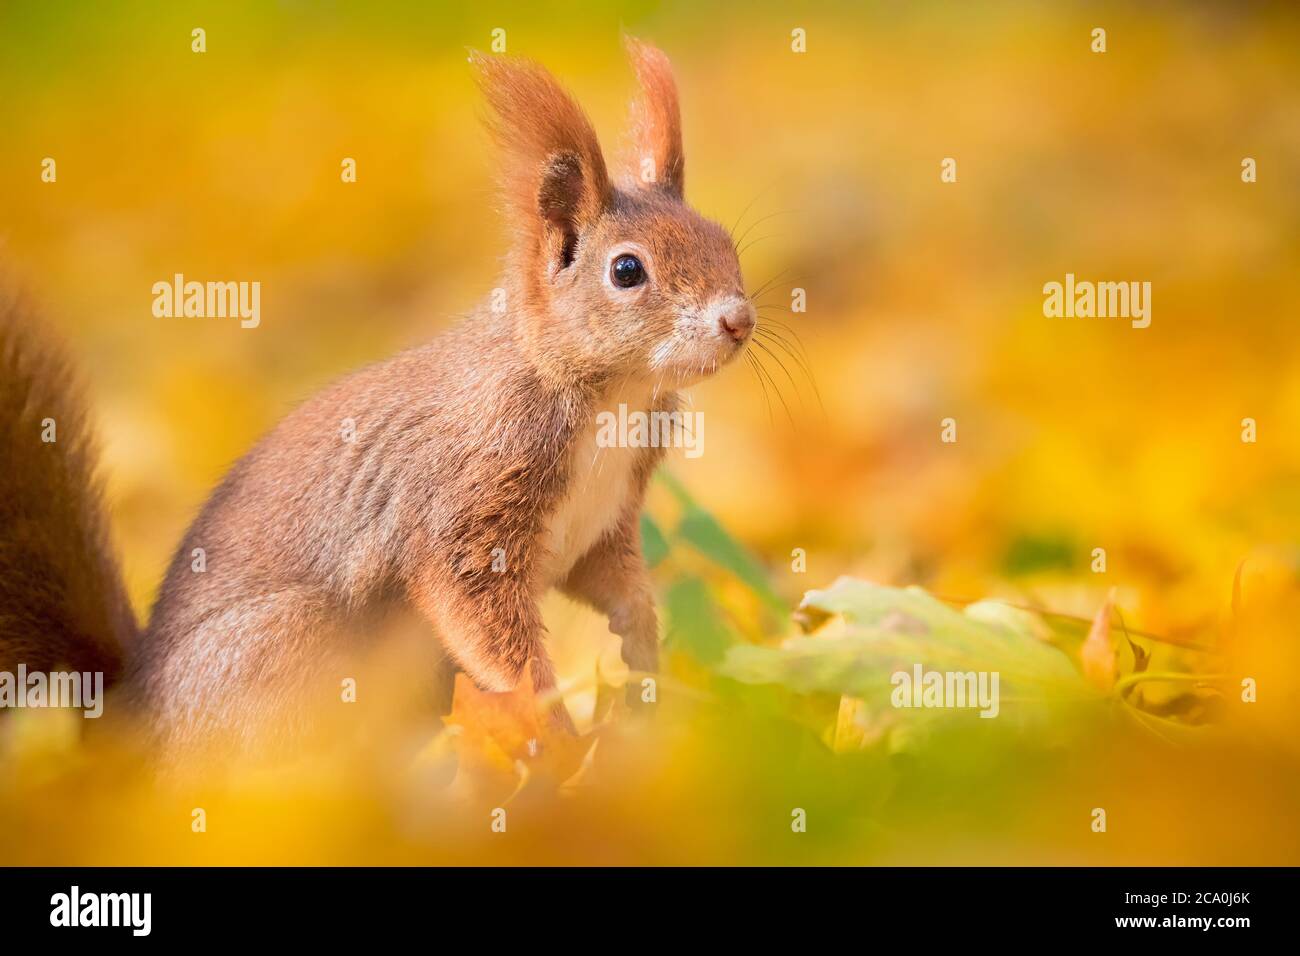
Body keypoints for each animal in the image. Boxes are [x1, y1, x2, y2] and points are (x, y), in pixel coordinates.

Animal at [0, 40, 755, 758]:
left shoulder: (602, 524)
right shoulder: (467, 505)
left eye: (724, 242)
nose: (739, 320)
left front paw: (645, 651)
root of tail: (131, 727)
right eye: (626, 270)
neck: (612, 398)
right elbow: (482, 623)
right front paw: (558, 726)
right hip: (292, 647)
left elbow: (612, 581)